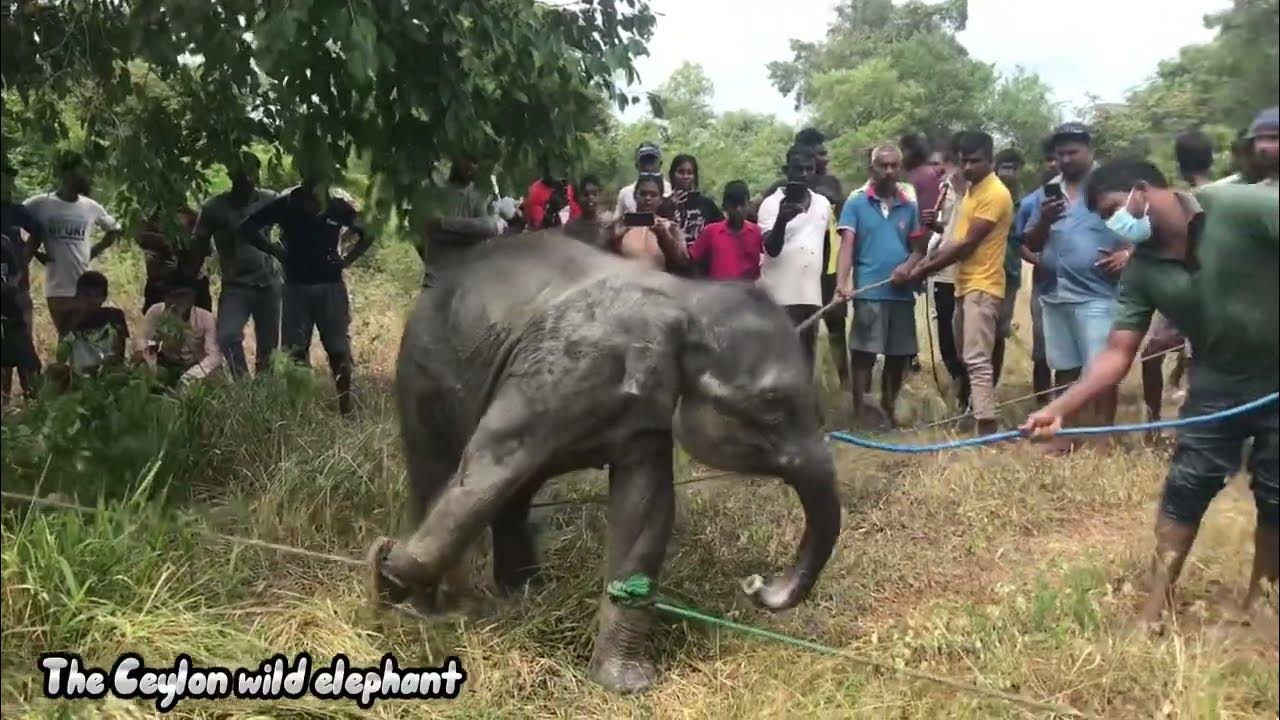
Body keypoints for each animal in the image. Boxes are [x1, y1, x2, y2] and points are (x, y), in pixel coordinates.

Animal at [369, 230, 840, 693]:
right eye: (772, 408)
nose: (755, 583)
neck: (687, 300)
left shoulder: (647, 413)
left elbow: (645, 507)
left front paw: (625, 685)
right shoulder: (564, 371)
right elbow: (493, 463)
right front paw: (384, 573)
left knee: (516, 493)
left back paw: (523, 595)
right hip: (424, 369)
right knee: (438, 471)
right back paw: (436, 612)